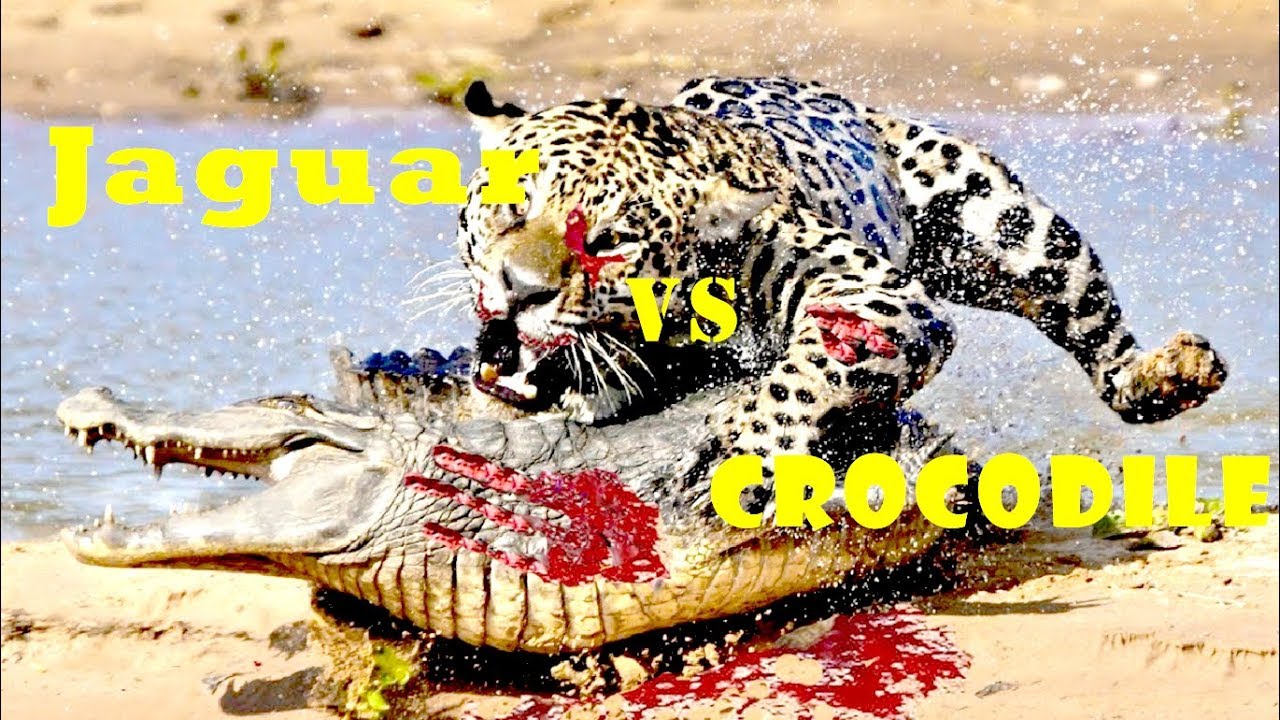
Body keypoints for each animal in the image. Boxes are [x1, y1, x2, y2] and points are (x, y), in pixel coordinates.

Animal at [441, 75, 1226, 491]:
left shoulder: (879, 292)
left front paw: (741, 447)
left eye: (610, 243)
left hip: (1011, 227)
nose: (520, 289)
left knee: (1097, 332)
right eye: (513, 206)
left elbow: (807, 370)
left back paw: (1166, 375)